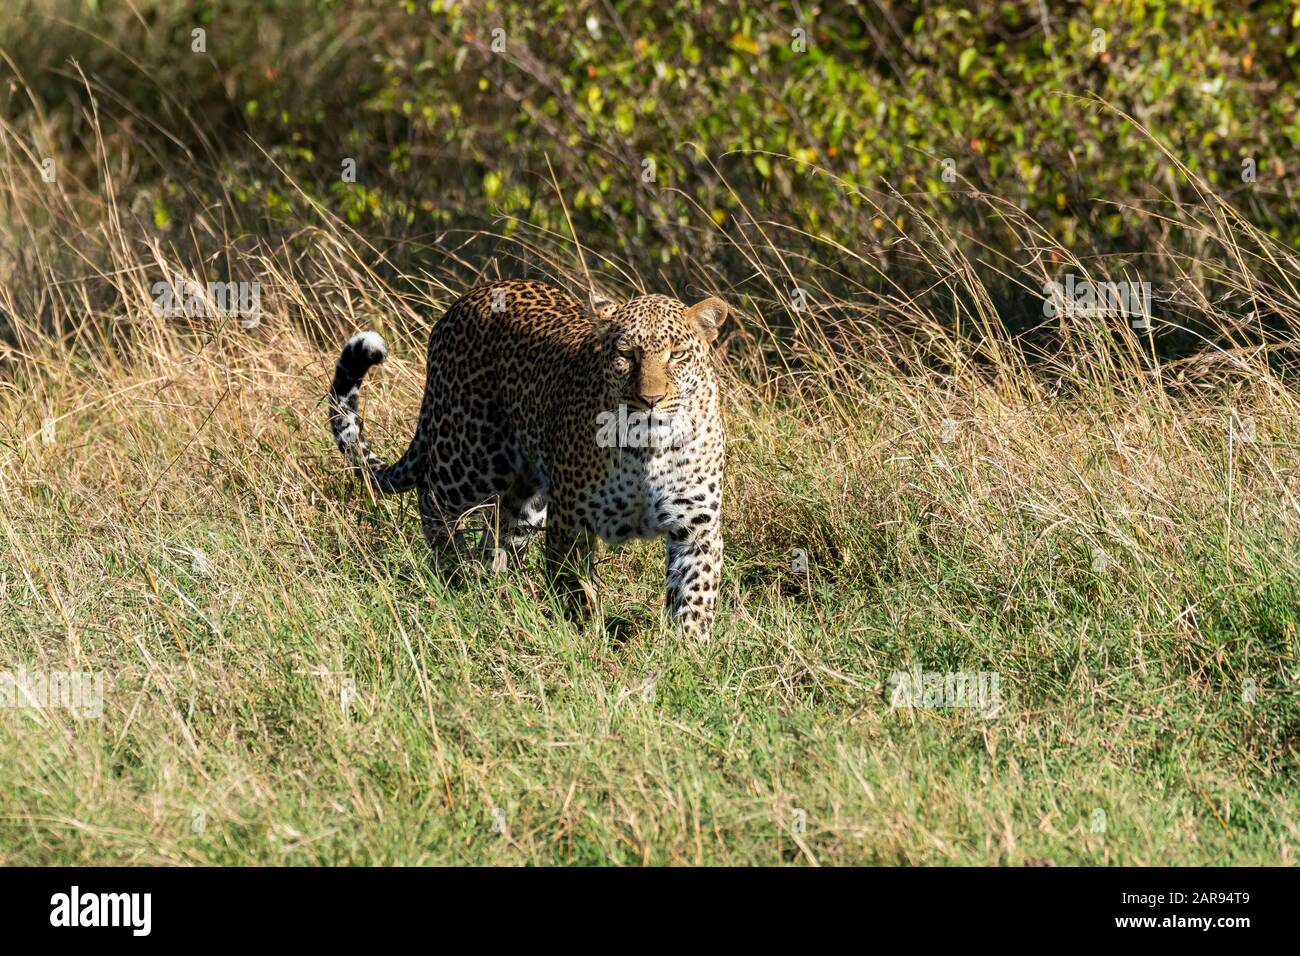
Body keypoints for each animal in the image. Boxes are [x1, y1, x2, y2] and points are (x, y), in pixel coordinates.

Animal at [327, 279, 728, 639]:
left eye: (677, 354)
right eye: (627, 355)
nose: (651, 400)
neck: (648, 448)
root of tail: (465, 300)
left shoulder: (696, 525)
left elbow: (694, 593)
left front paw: (687, 653)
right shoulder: (571, 523)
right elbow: (574, 586)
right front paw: (588, 639)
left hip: (527, 499)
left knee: (498, 532)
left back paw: (496, 587)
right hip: (469, 456)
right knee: (432, 499)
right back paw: (454, 570)